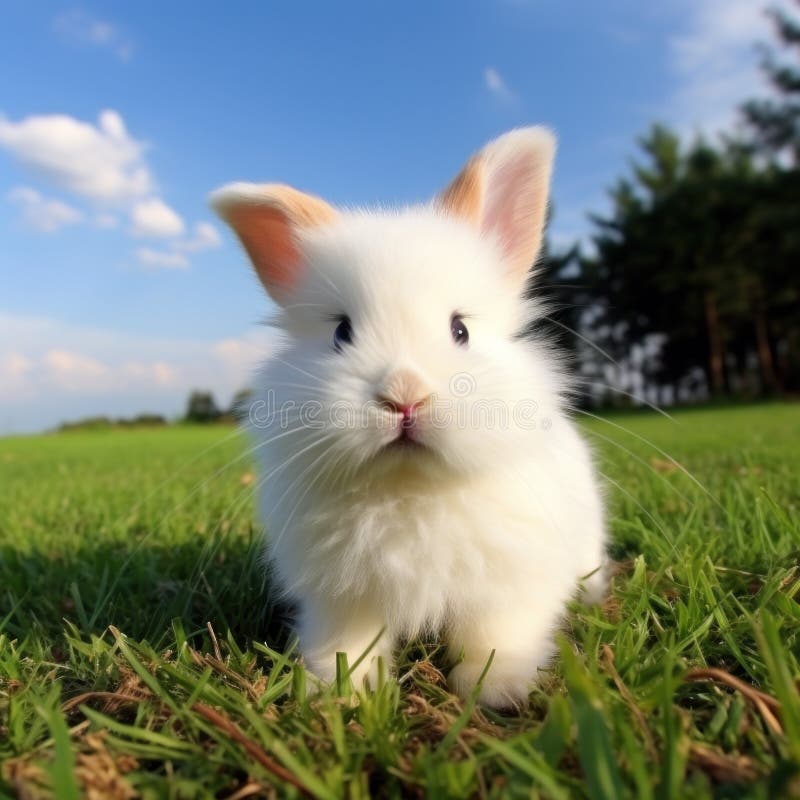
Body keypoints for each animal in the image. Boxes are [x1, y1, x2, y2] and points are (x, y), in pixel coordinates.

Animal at [211, 127, 607, 708]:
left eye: (461, 330)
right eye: (341, 332)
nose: (404, 397)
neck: (408, 486)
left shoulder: (510, 587)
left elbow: (496, 634)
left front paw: (498, 688)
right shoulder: (341, 598)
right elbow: (347, 644)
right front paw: (342, 692)